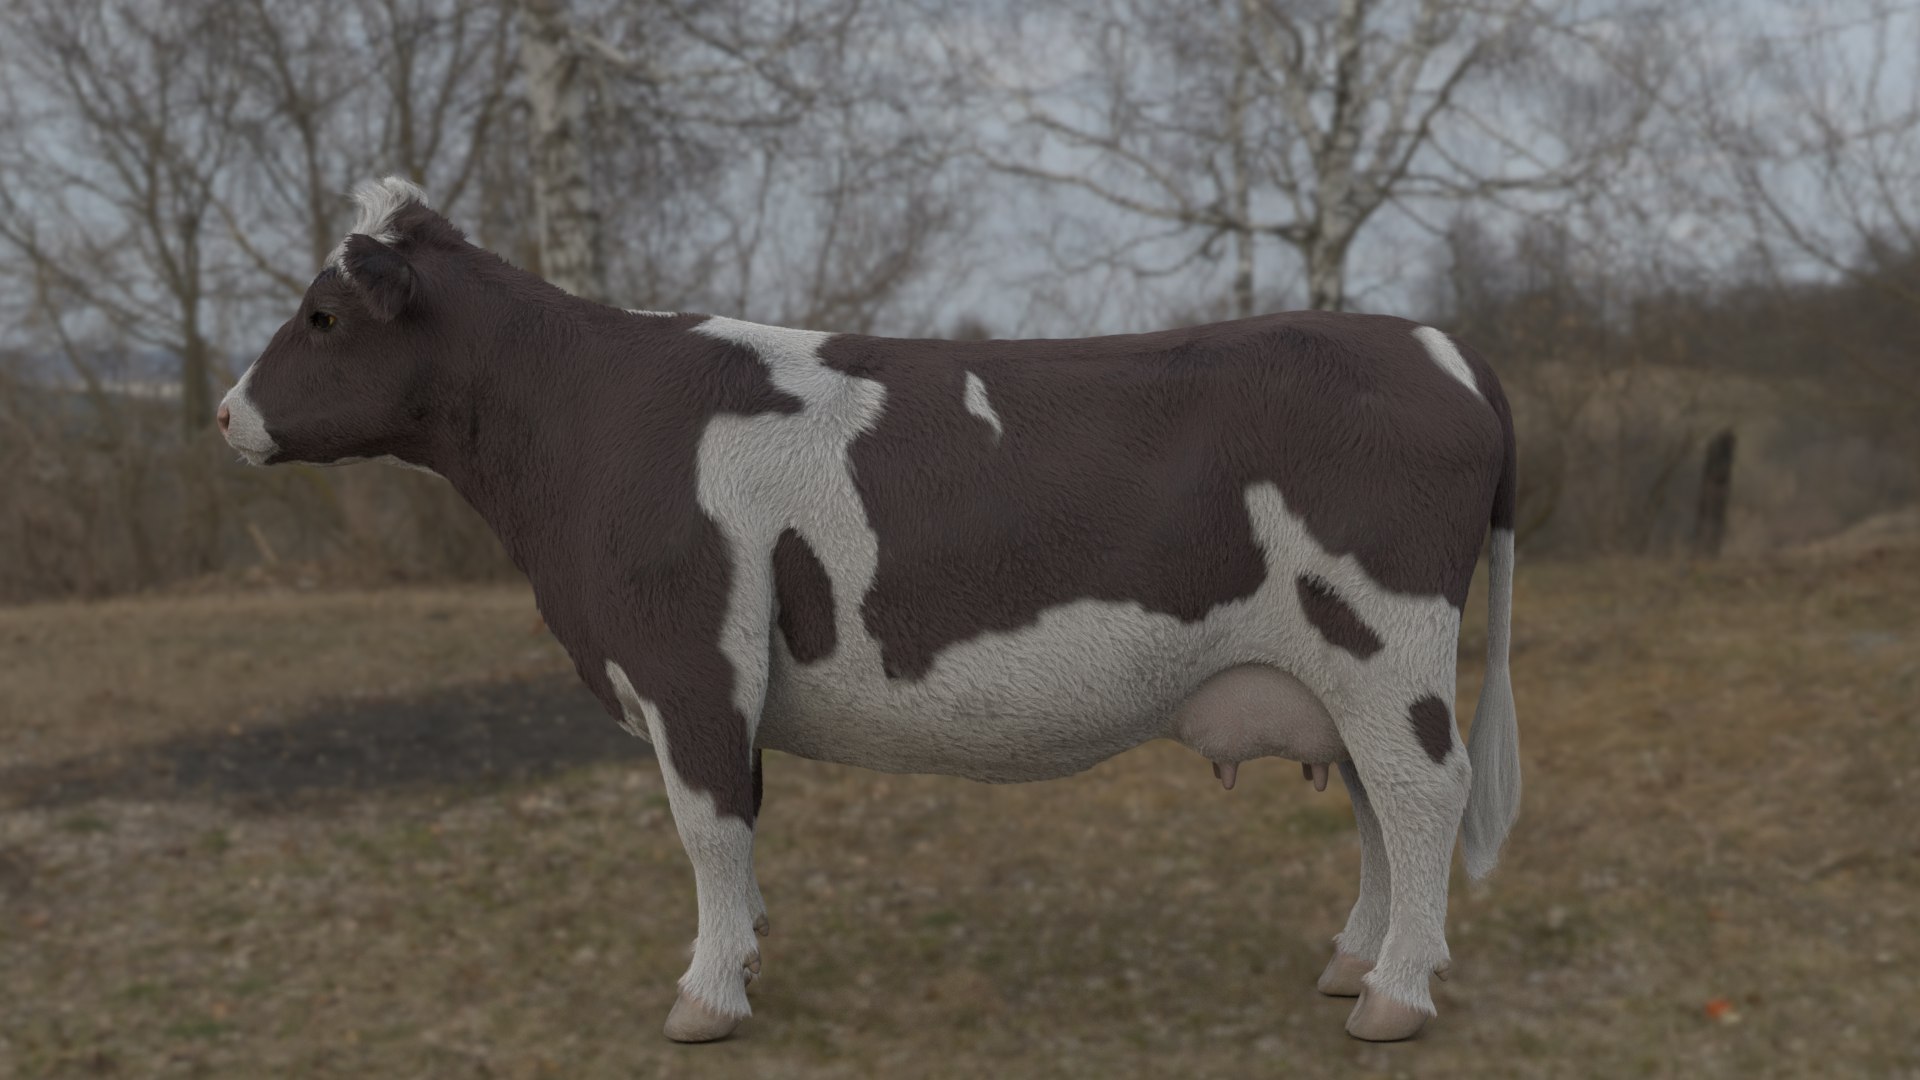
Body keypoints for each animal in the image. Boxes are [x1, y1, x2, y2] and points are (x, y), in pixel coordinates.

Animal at [218, 177, 1520, 1044]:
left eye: (323, 317)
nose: (228, 412)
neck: (582, 423)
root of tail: (1435, 341)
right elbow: (739, 824)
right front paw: (744, 957)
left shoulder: (689, 661)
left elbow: (709, 825)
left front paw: (706, 996)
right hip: (1343, 673)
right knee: (1378, 805)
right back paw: (1354, 962)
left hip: (1386, 646)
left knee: (1424, 794)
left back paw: (1396, 996)